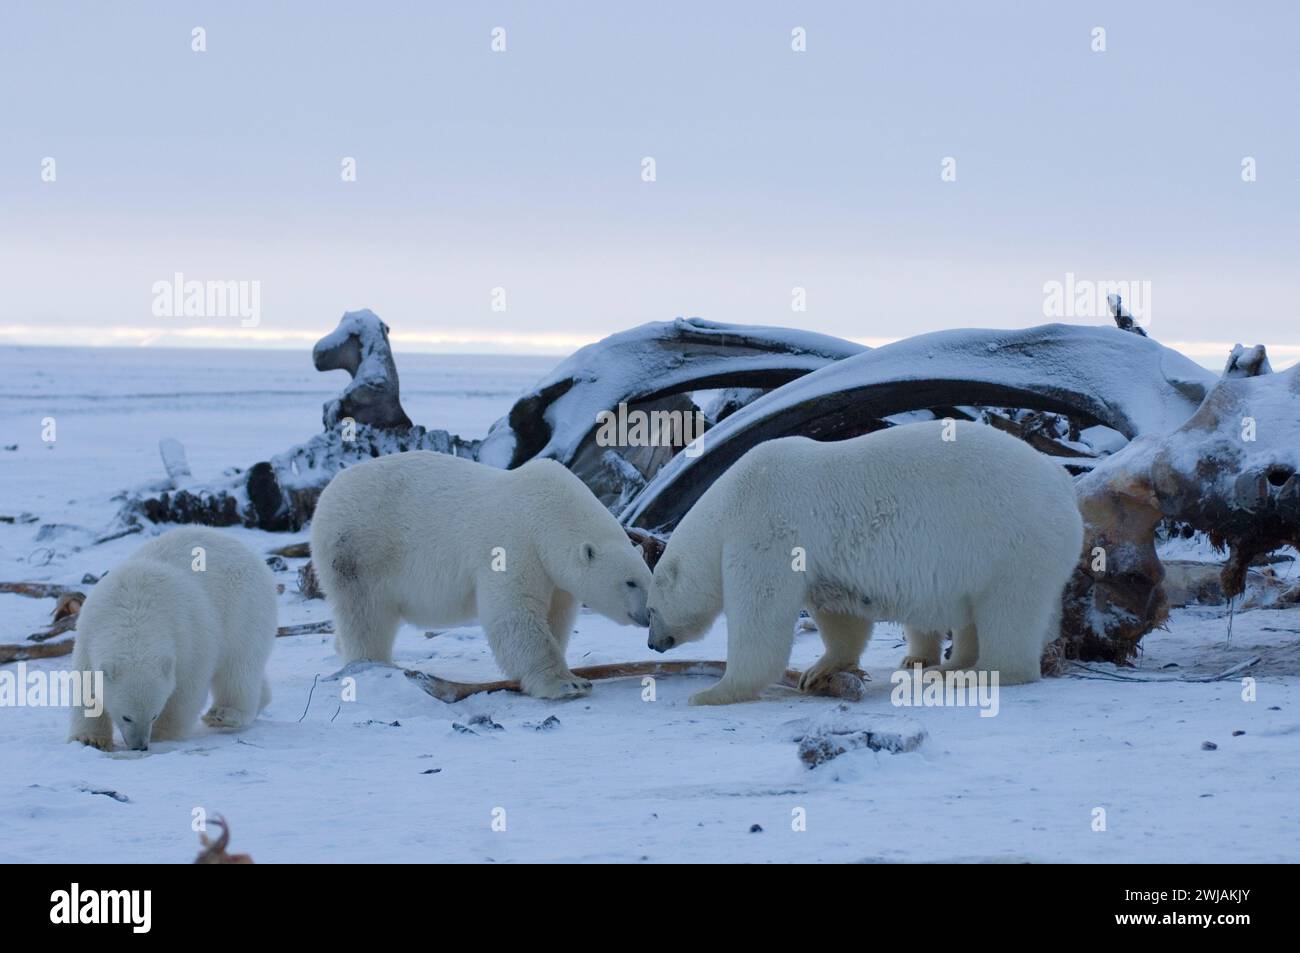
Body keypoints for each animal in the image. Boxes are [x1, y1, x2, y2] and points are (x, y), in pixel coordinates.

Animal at [68, 527, 278, 750]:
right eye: (127, 717)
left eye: (154, 715)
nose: (140, 745)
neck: (134, 612)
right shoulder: (90, 631)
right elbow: (86, 684)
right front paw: (90, 738)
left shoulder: (189, 636)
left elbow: (185, 690)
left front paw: (163, 734)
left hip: (244, 608)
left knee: (238, 667)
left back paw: (224, 713)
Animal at [309, 451, 653, 699]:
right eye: (630, 582)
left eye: (648, 578)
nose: (649, 615)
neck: (547, 512)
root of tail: (326, 495)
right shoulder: (514, 543)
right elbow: (514, 614)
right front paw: (566, 684)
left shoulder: (554, 575)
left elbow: (556, 616)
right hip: (359, 549)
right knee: (365, 614)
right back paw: (372, 664)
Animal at [644, 420, 1084, 705]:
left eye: (651, 610)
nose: (652, 643)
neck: (729, 504)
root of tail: (1062, 479)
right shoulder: (823, 564)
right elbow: (839, 616)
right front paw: (818, 671)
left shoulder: (766, 531)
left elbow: (760, 617)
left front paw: (712, 692)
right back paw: (947, 666)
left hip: (1011, 539)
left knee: (1009, 610)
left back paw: (974, 674)